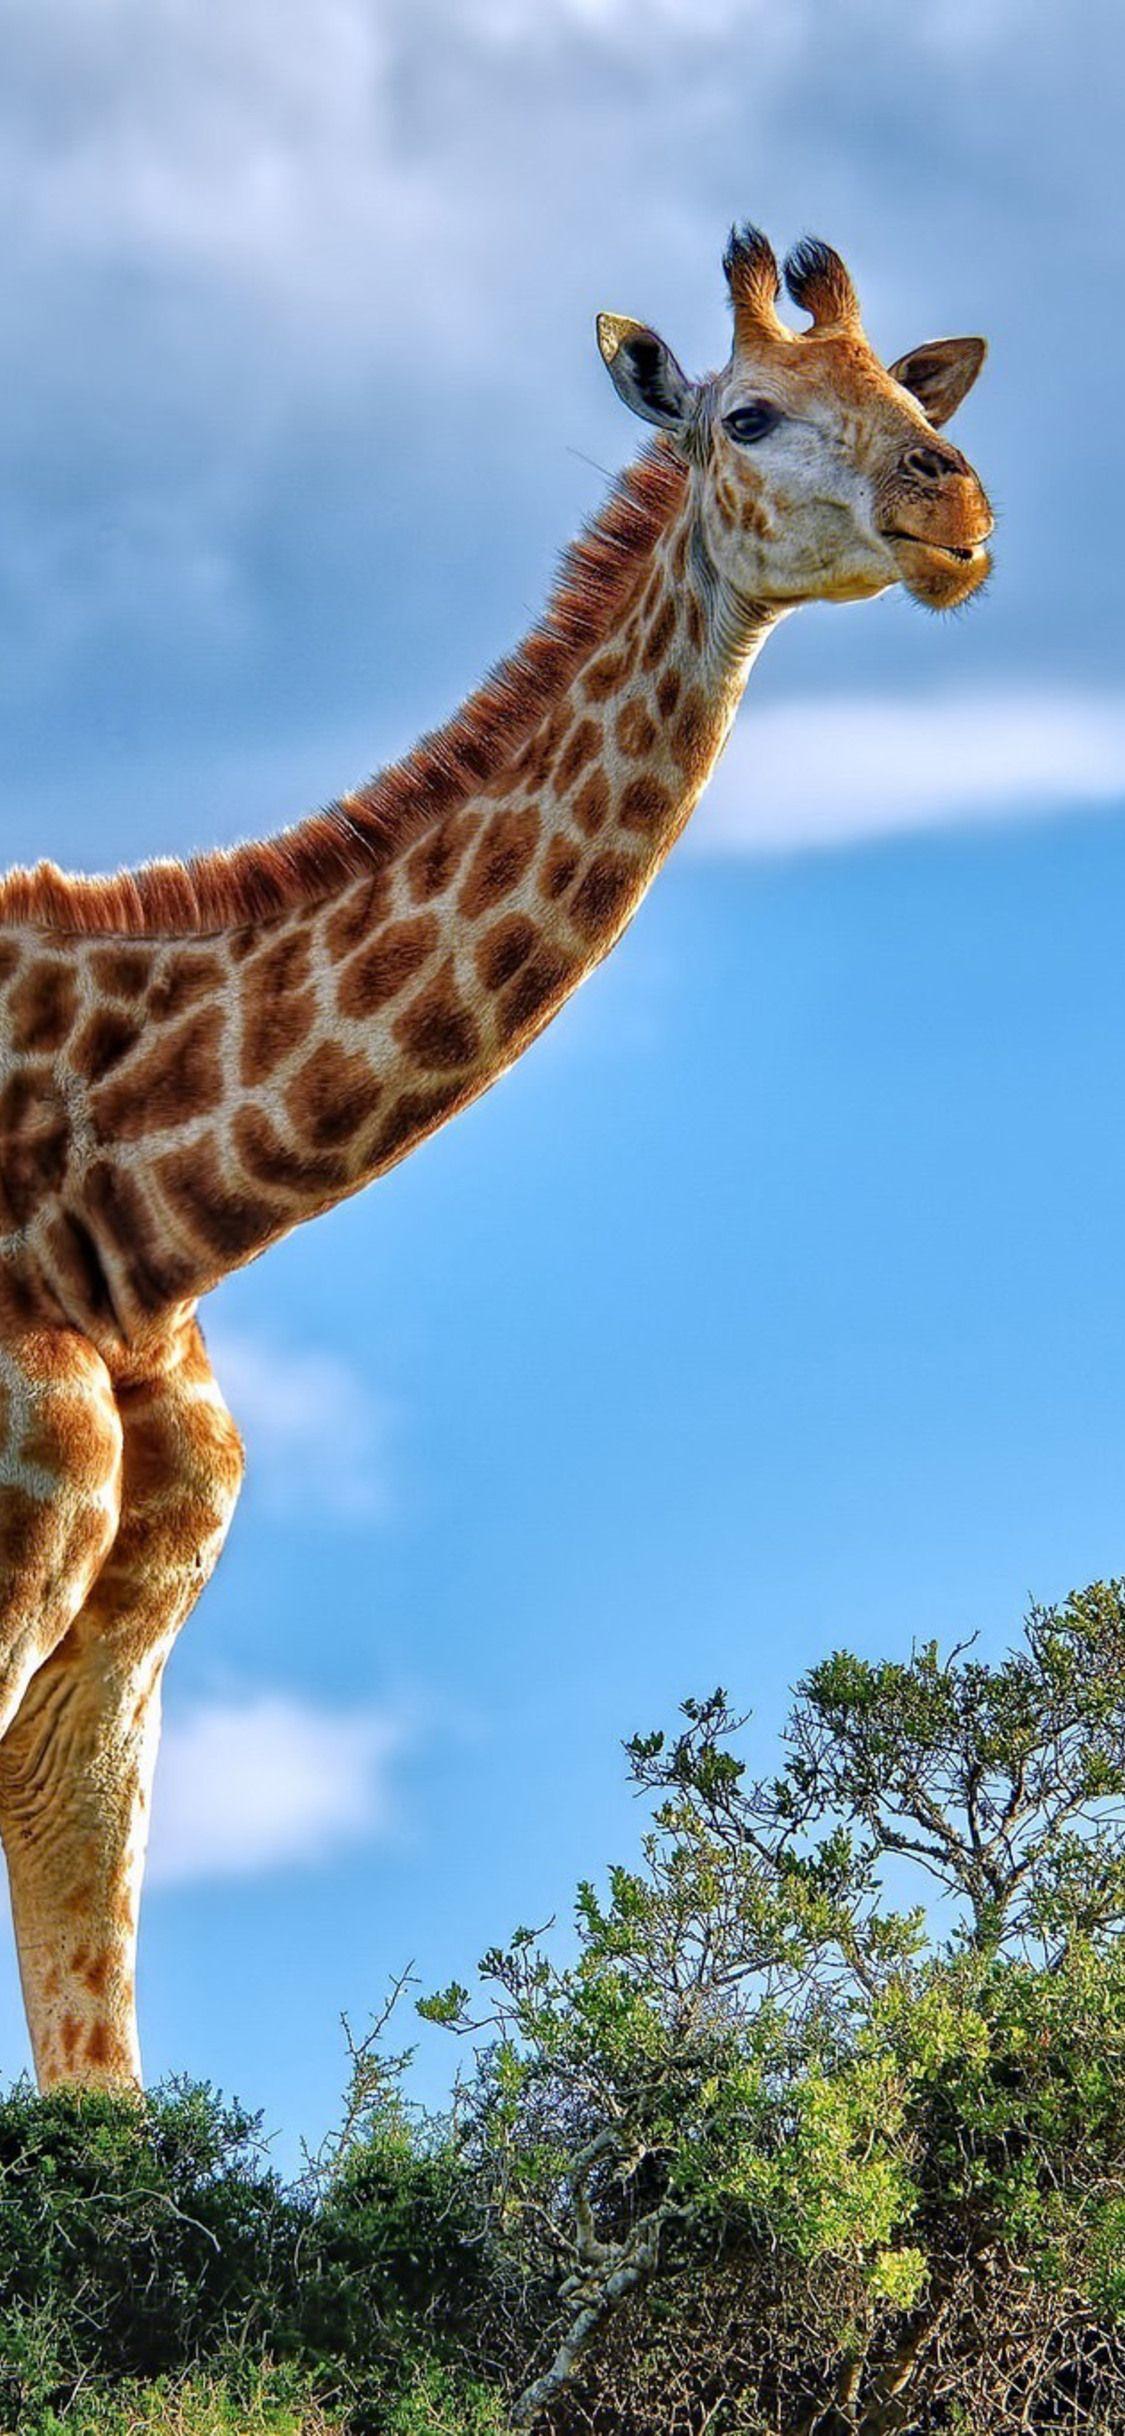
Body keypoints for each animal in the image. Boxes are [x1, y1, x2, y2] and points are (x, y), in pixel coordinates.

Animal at [0, 228, 991, 2091]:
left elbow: (103, 2080)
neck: (141, 1217)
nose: (954, 506)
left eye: (911, 393)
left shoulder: (112, 1664)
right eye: (748, 414)